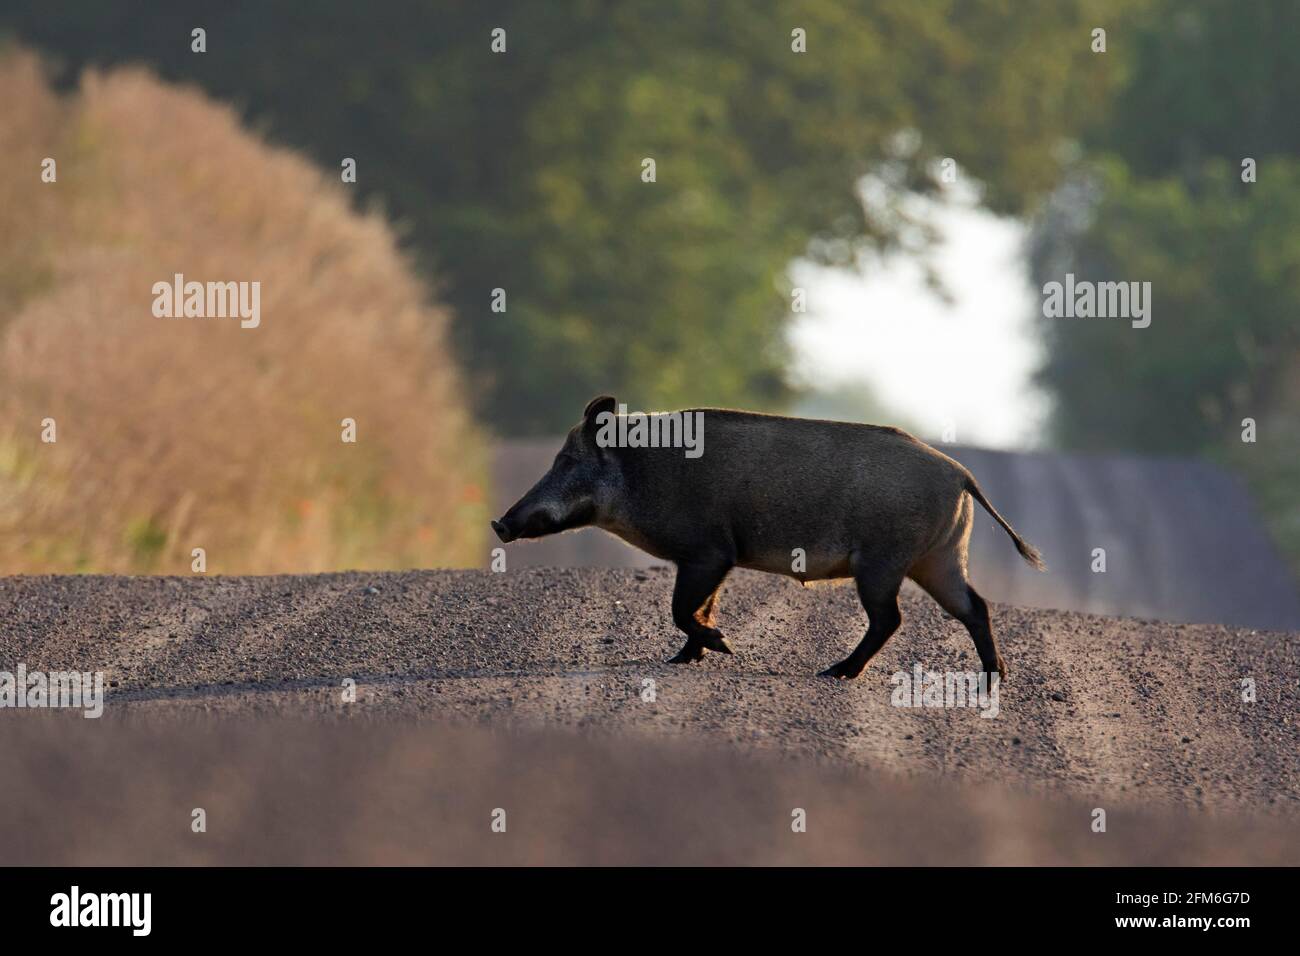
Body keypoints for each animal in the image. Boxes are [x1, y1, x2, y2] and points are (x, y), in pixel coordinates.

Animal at [492, 396, 1045, 681]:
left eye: (567, 460)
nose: (500, 523)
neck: (642, 476)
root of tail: (960, 475)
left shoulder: (709, 552)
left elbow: (683, 609)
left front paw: (724, 647)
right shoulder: (714, 560)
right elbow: (699, 608)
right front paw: (684, 660)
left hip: (885, 562)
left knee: (892, 618)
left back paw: (835, 672)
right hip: (940, 558)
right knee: (974, 607)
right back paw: (994, 677)